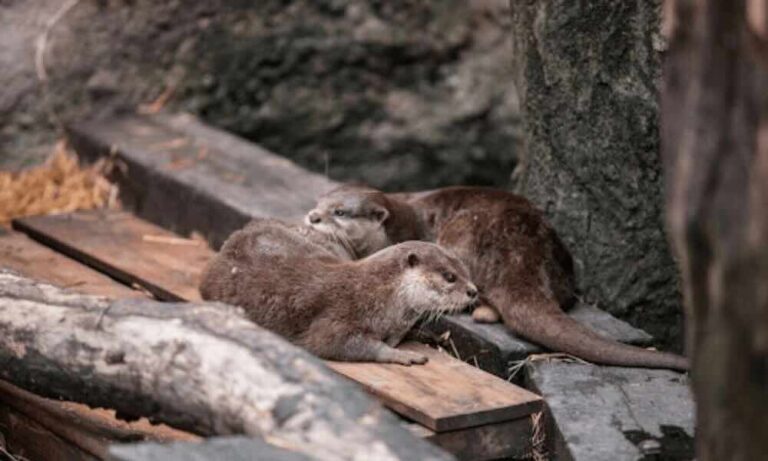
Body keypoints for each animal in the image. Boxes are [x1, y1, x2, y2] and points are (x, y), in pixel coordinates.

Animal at [199, 218, 478, 365]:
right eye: (449, 277)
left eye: (466, 270)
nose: (473, 292)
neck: (380, 294)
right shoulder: (340, 314)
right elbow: (333, 344)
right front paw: (401, 355)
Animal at [306, 186, 689, 371]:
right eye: (319, 203)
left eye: (339, 212)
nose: (311, 216)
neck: (403, 224)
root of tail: (522, 252)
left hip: (461, 232)